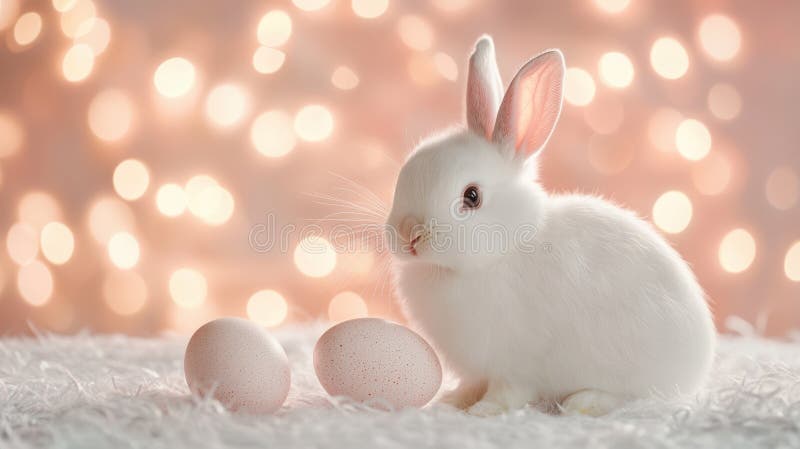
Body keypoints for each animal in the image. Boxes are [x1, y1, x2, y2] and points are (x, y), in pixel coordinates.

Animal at [384, 35, 716, 416]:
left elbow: (507, 392)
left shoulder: (515, 363)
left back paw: (583, 403)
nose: (409, 235)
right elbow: (472, 384)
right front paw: (450, 402)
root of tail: (697, 368)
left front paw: (482, 411)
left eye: (472, 196)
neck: (503, 251)